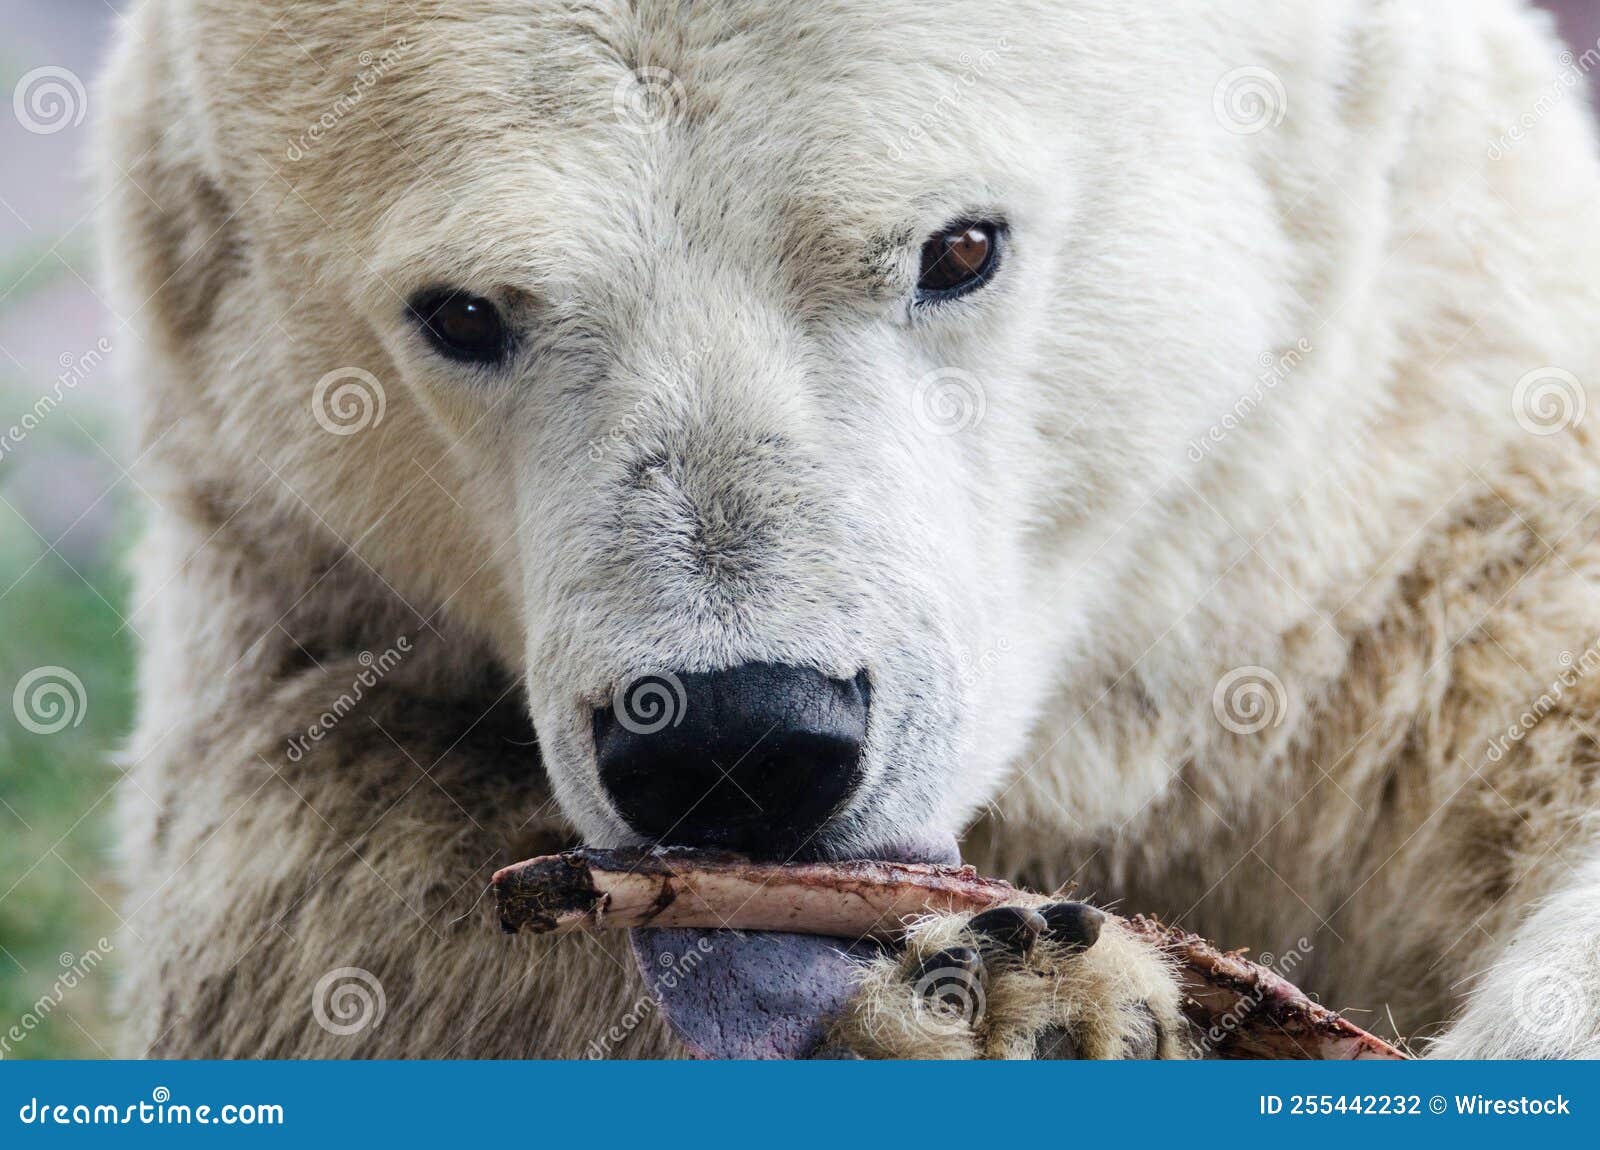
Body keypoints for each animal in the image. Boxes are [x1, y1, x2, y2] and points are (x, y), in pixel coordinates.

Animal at [96, 0, 1600, 1058]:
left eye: (961, 246)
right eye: (462, 312)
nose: (739, 739)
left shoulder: (1406, 541)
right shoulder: (298, 580)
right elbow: (316, 909)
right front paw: (1010, 1003)